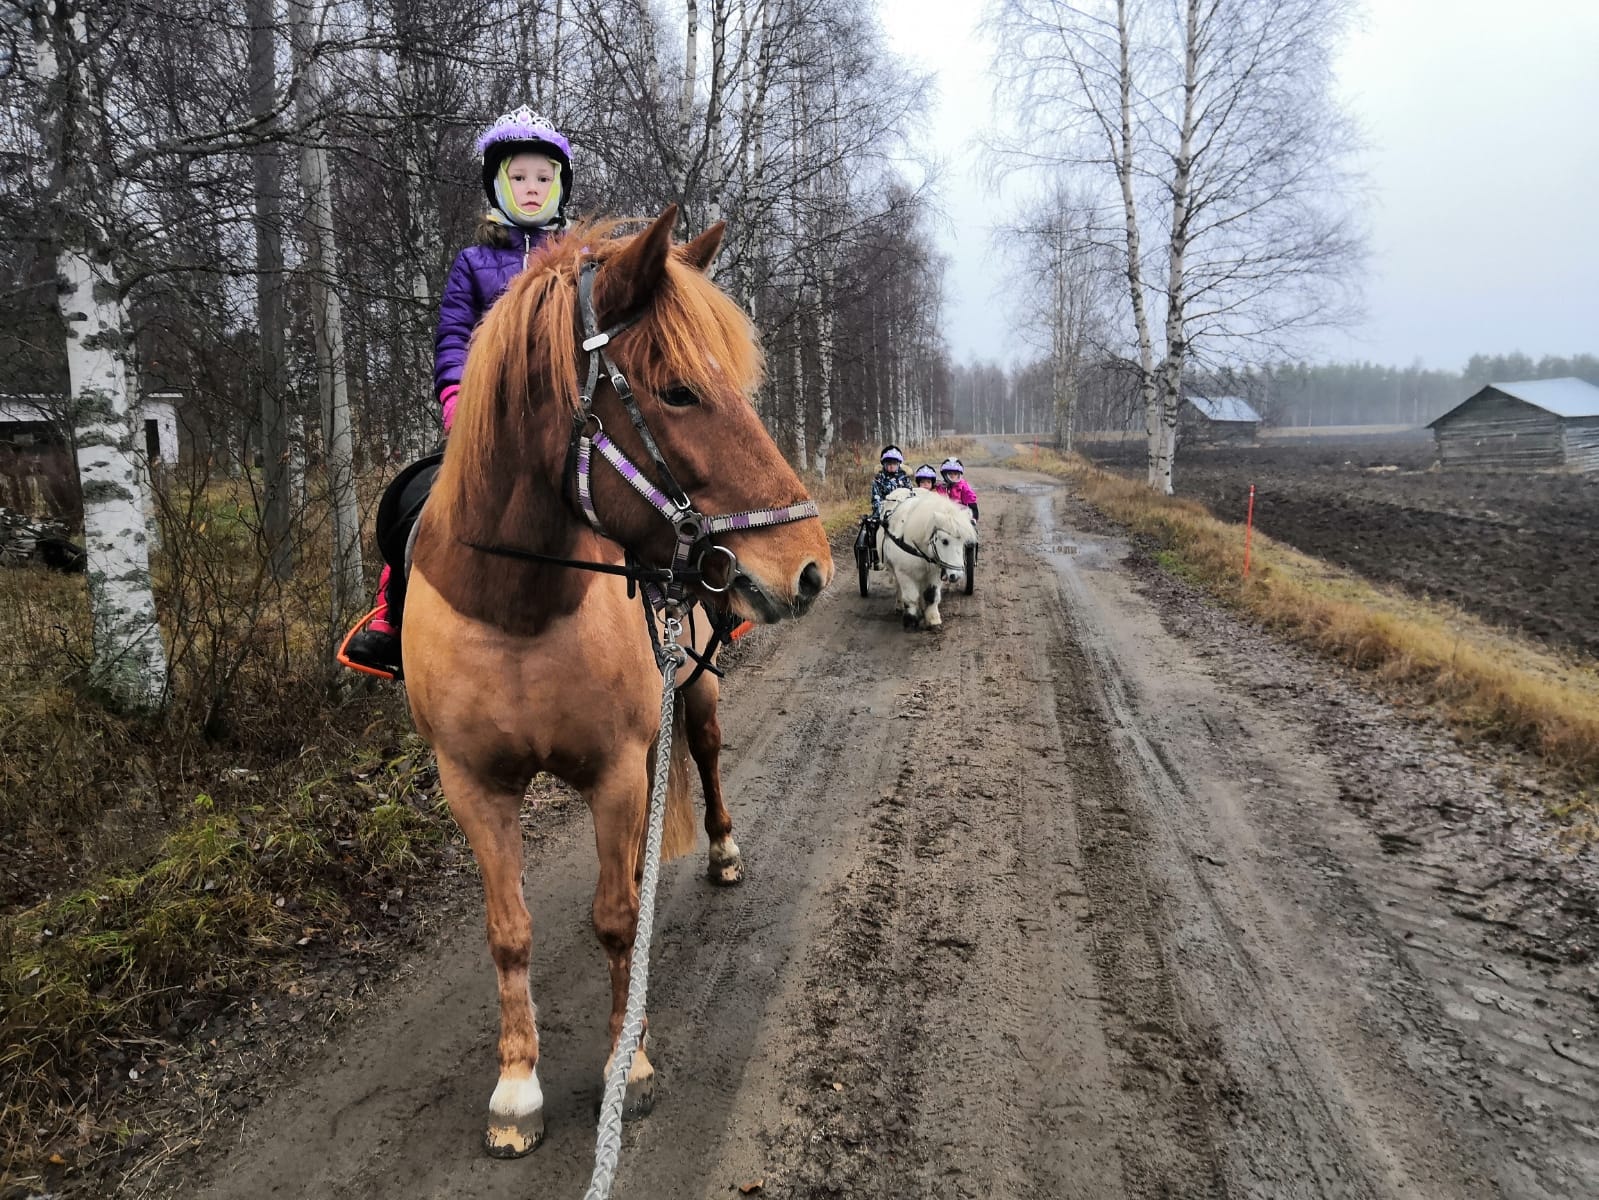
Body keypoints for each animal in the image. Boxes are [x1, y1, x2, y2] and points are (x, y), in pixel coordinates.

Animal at [402, 206, 833, 1157]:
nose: (810, 566)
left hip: (695, 695)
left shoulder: (613, 772)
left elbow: (612, 920)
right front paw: (516, 1086)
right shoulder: (473, 786)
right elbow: (509, 932)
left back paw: (721, 852)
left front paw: (624, 1065)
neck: (518, 607)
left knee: (703, 756)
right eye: (677, 392)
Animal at [877, 488, 970, 629]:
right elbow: (910, 597)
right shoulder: (904, 573)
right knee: (898, 586)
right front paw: (910, 619)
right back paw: (900, 605)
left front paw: (933, 619)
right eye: (945, 541)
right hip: (892, 567)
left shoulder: (935, 571)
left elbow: (931, 595)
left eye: (964, 542)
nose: (957, 575)